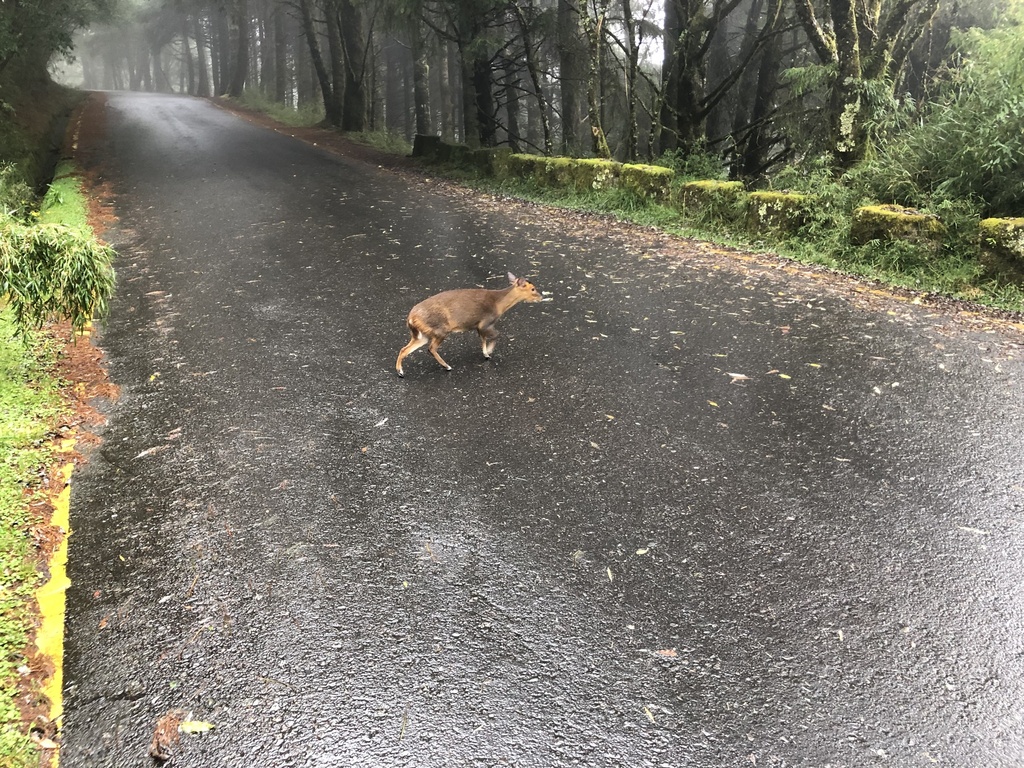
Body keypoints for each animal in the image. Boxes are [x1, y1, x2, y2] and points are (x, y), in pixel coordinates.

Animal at [396, 272, 544, 377]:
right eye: (533, 289)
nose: (541, 296)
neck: (499, 304)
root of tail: (411, 317)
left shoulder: (478, 326)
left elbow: (483, 339)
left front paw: (486, 354)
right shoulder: (486, 322)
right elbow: (497, 334)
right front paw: (490, 351)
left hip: (422, 334)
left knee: (404, 349)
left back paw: (400, 372)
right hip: (440, 329)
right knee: (431, 348)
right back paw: (447, 366)